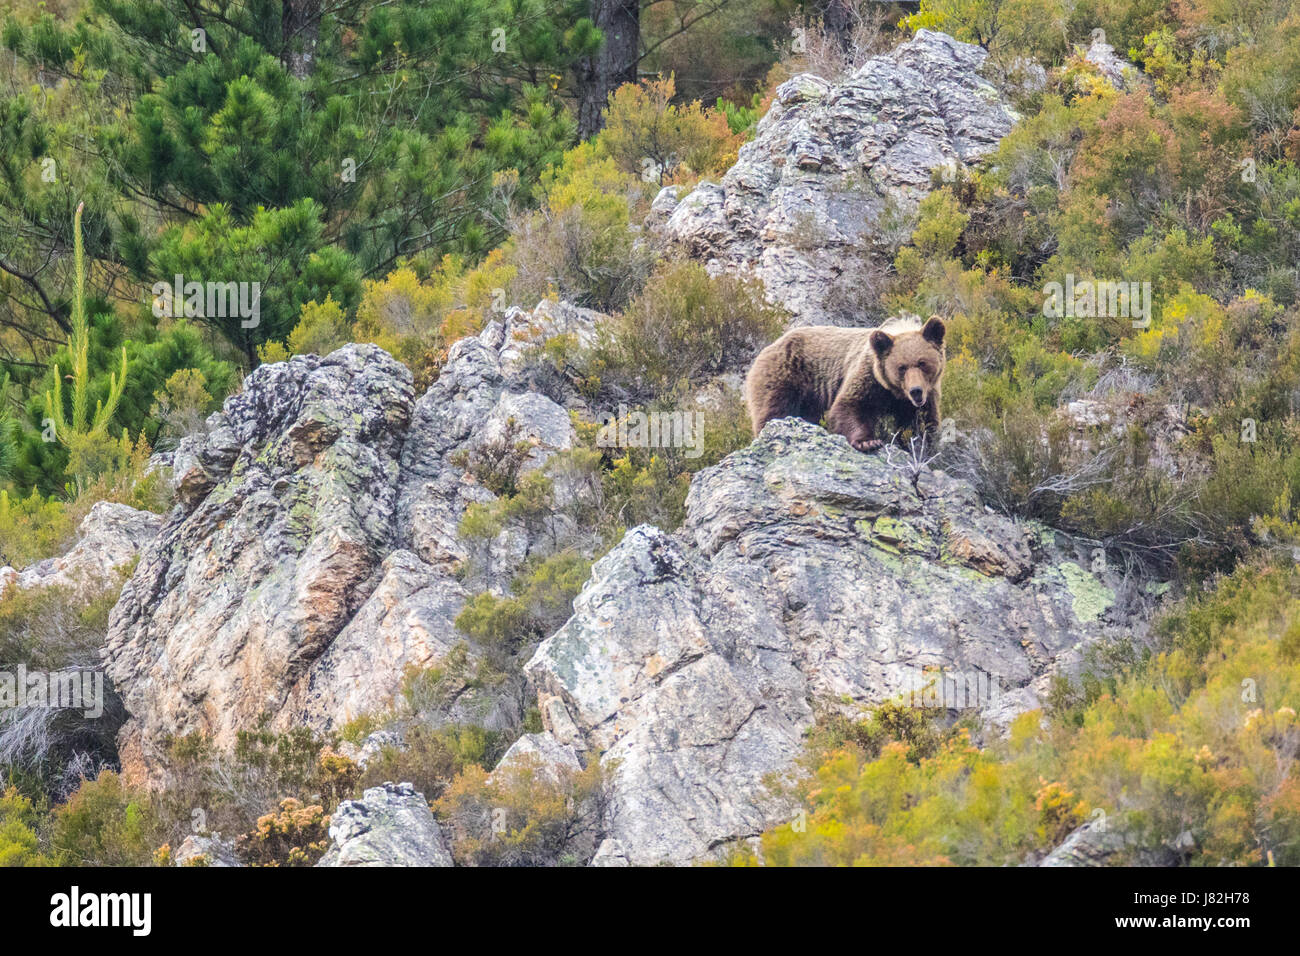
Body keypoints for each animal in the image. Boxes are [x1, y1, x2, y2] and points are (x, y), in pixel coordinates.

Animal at [744, 315, 946, 452]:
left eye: (922, 363)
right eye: (901, 367)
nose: (916, 391)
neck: (894, 393)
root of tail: (769, 346)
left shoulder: (926, 395)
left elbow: (922, 424)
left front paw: (919, 447)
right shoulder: (868, 377)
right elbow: (849, 405)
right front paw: (868, 441)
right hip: (784, 376)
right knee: (773, 410)